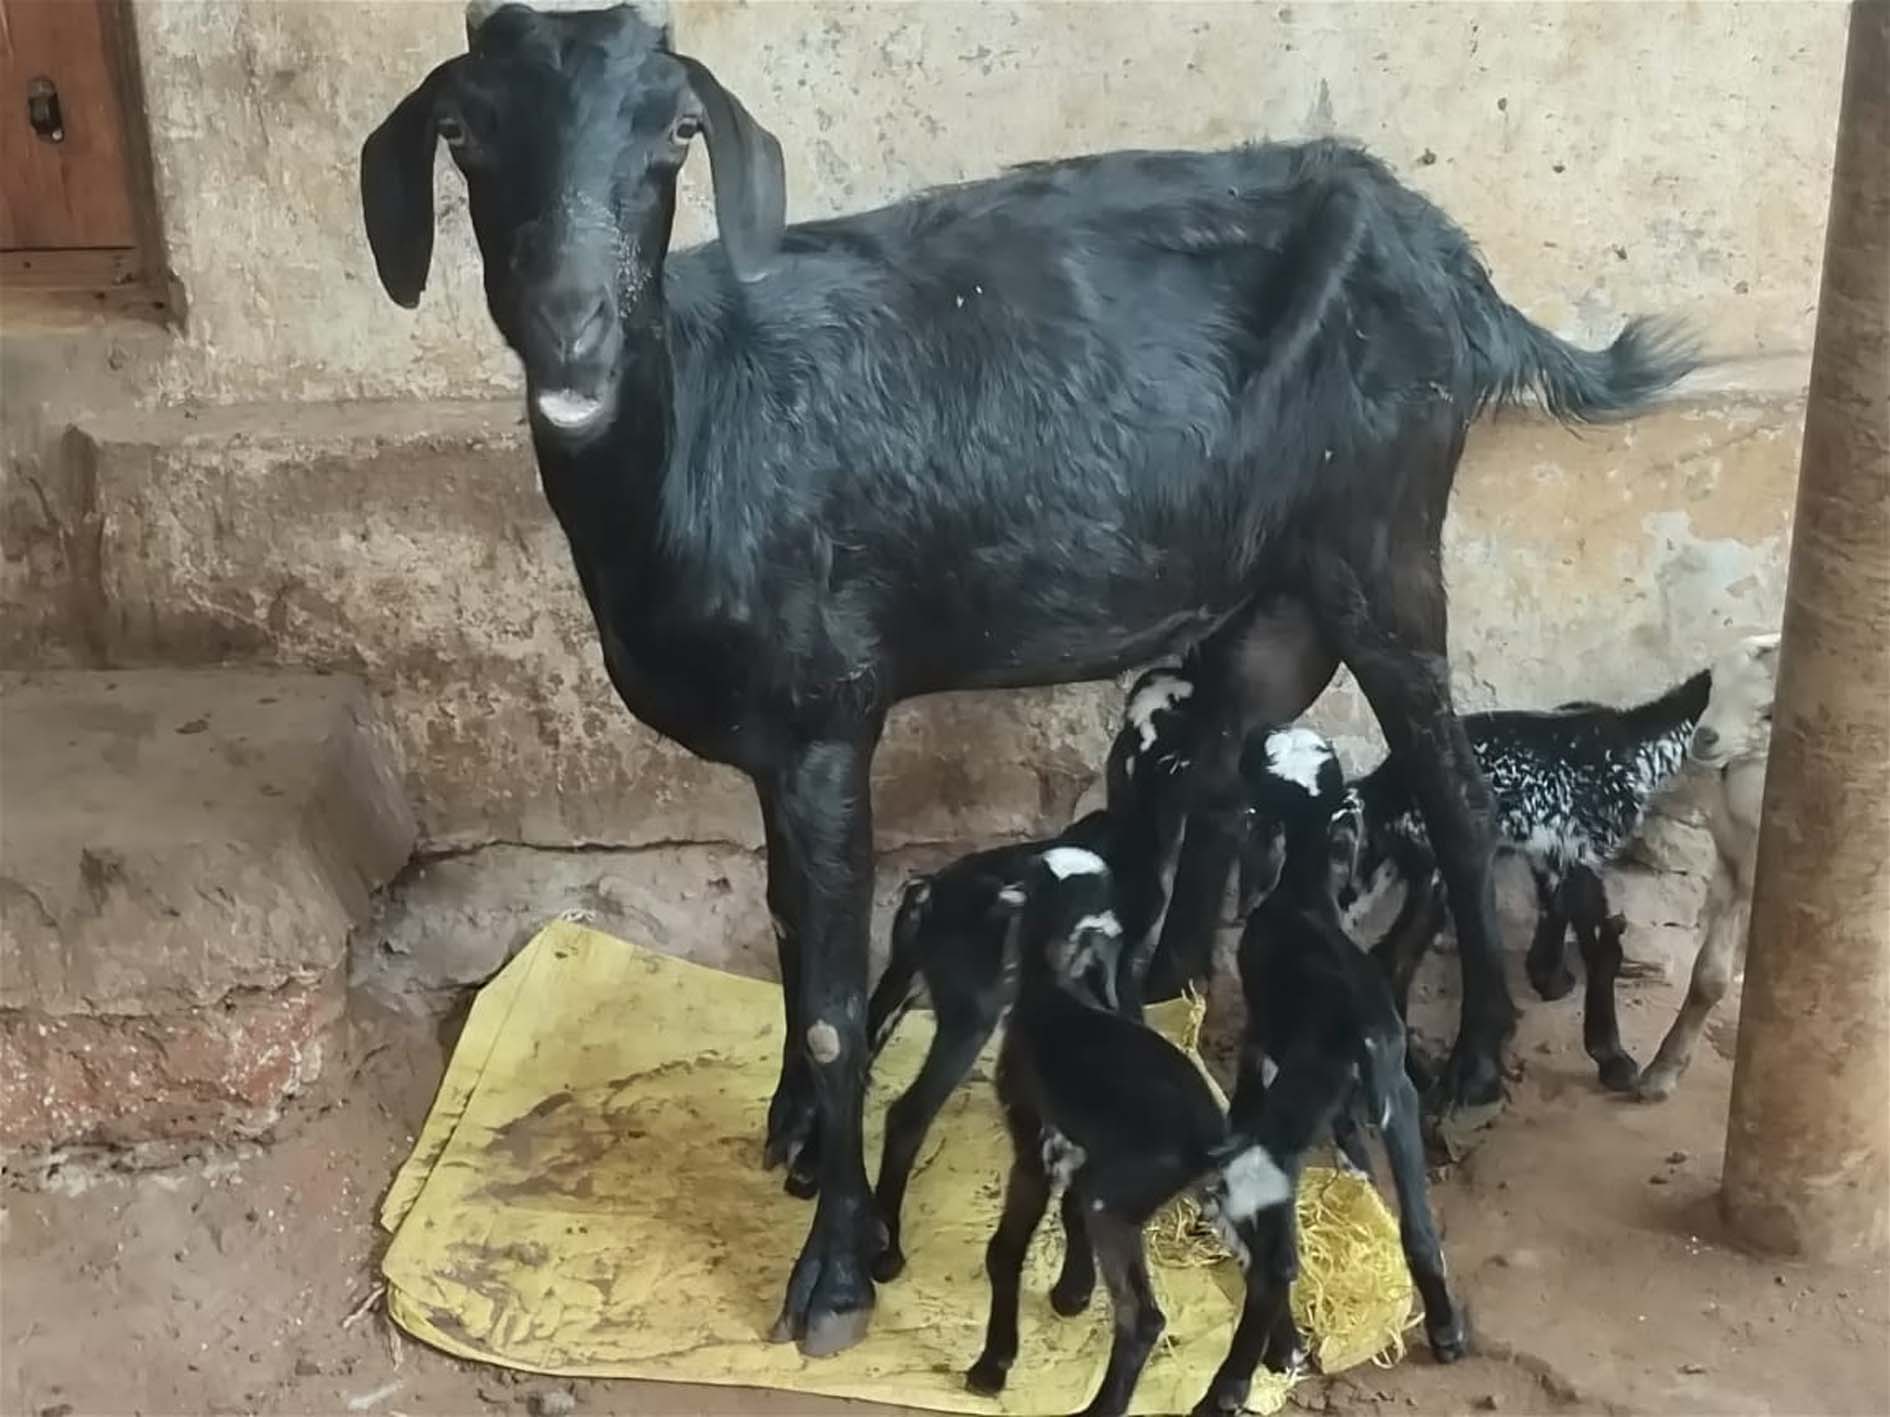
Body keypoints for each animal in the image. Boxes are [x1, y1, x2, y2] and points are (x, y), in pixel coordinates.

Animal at [1339, 667, 1714, 1092]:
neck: (1633, 749)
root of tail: (1375, 789)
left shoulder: (1550, 851)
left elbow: (1553, 910)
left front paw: (1549, 978)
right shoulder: (1582, 851)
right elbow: (1602, 950)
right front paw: (1612, 1059)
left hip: (1408, 872)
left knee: (1390, 960)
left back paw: (1416, 1072)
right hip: (1438, 870)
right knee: (1395, 958)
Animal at [1636, 633, 1780, 1102]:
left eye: (1769, 713)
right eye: (1713, 684)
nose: (1705, 736)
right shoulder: (1734, 866)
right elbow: (1709, 976)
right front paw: (1661, 1071)